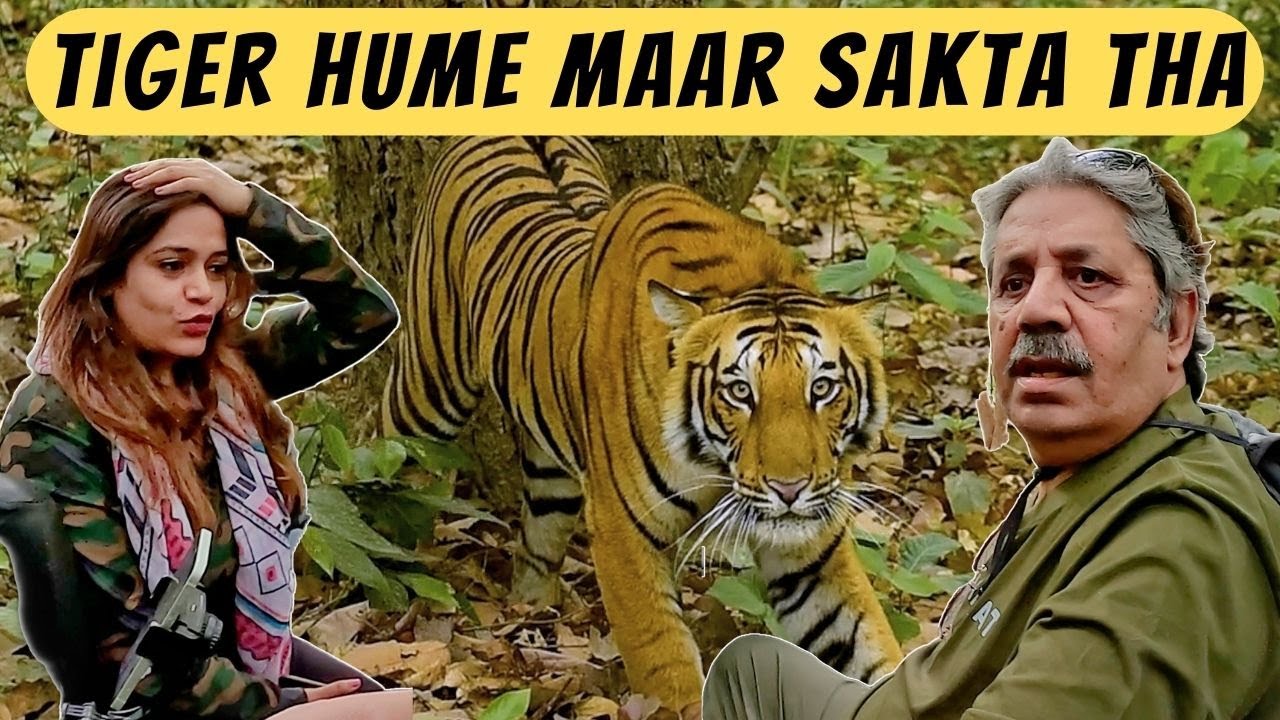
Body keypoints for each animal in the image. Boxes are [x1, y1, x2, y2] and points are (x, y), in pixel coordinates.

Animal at [382, 136, 903, 714]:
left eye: (823, 389)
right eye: (740, 392)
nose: (789, 489)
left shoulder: (815, 554)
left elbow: (867, 644)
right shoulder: (622, 534)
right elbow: (665, 663)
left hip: (551, 472)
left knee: (538, 538)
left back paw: (532, 610)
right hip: (429, 385)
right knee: (389, 454)